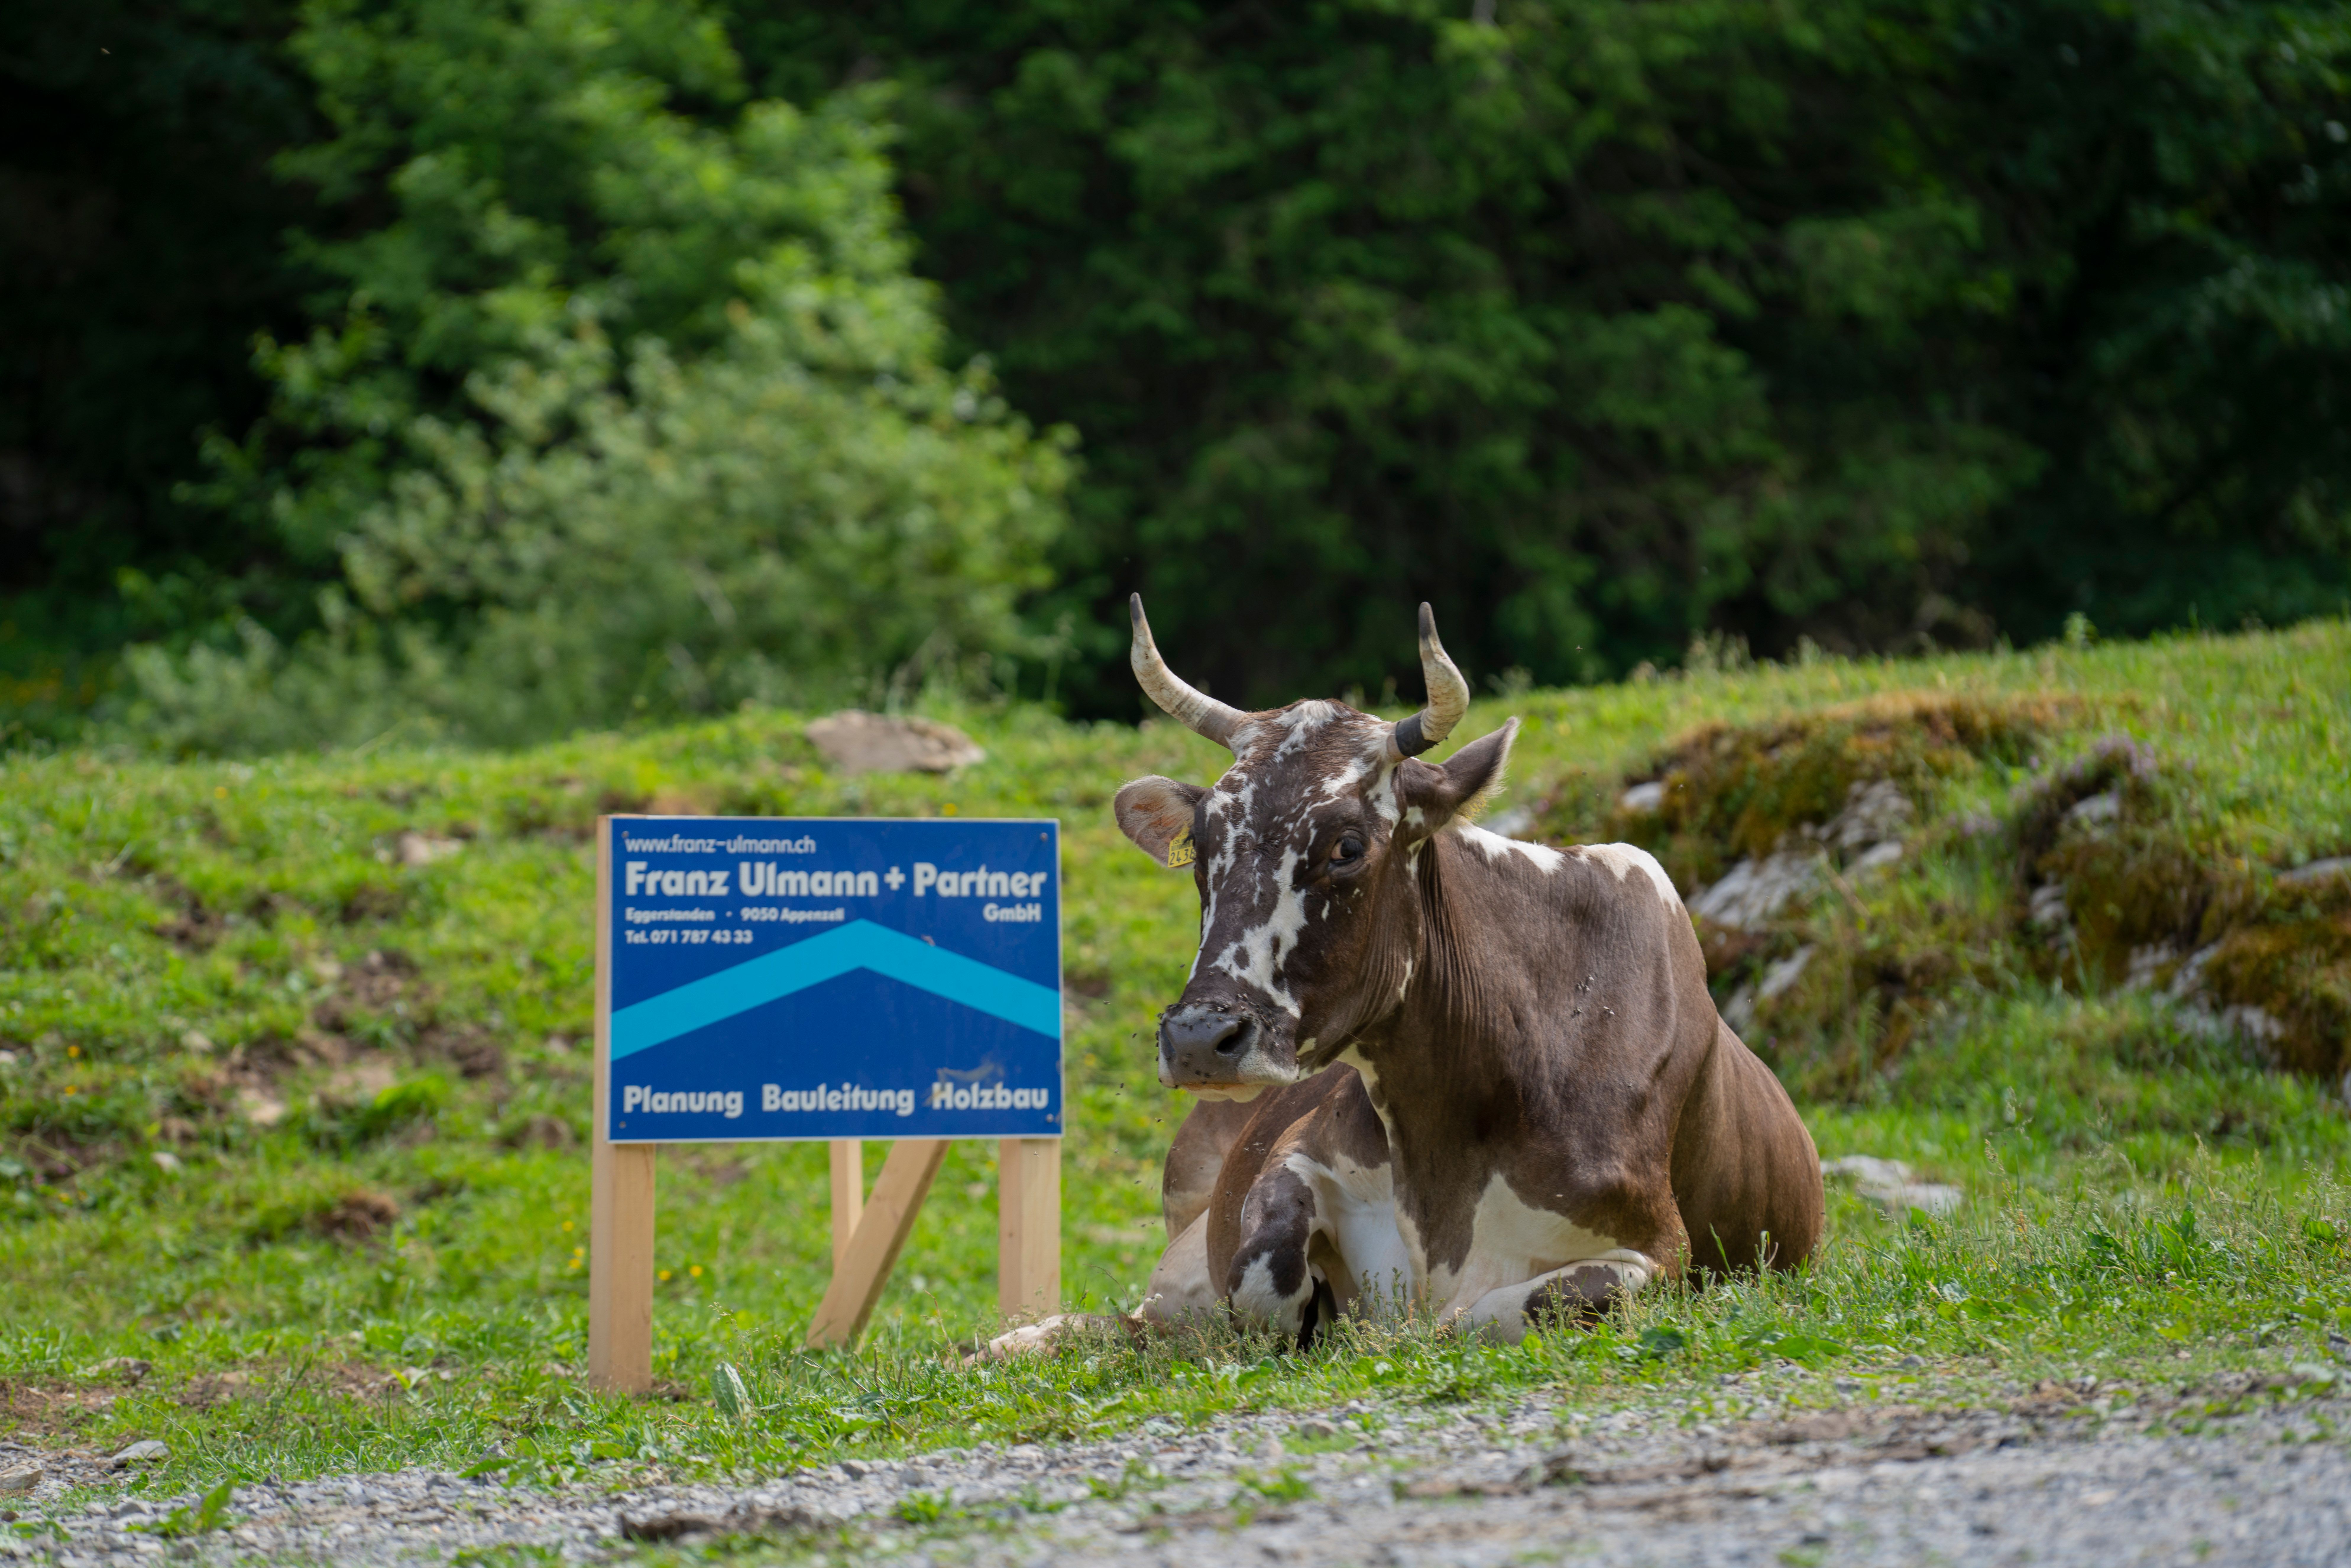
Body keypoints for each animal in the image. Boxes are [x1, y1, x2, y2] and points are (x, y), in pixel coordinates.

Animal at [1108, 596, 1823, 1340]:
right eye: (1203, 843)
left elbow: (1485, 1313)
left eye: (1347, 846)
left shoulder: (1656, 1250)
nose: (1199, 1037)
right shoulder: (1300, 1152)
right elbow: (1260, 1276)